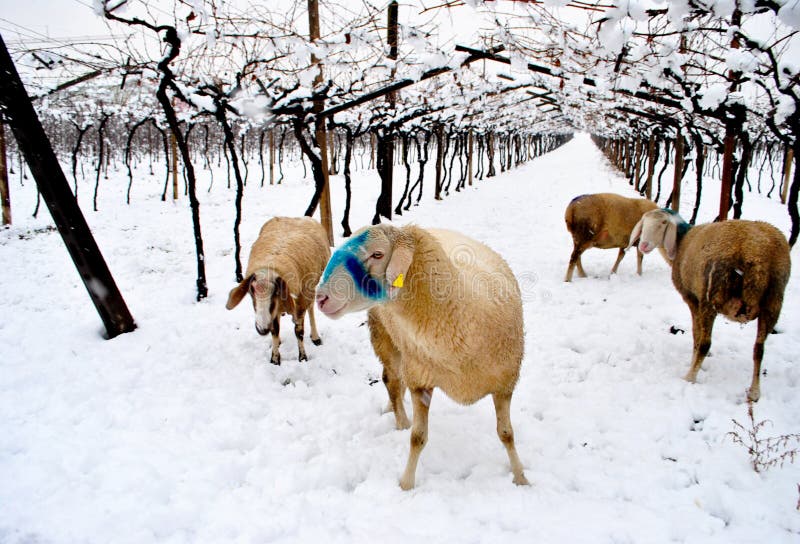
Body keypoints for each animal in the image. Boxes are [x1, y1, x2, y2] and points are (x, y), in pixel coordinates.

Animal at [226, 216, 331, 365]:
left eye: (275, 292)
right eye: (251, 292)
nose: (262, 329)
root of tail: (297, 217)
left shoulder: (300, 302)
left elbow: (299, 331)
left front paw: (303, 358)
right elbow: (275, 330)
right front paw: (275, 359)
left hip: (309, 288)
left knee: (311, 308)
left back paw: (315, 337)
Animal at [315, 224, 529, 490]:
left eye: (377, 254)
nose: (320, 298)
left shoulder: (505, 384)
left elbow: (507, 434)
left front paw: (521, 477)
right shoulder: (421, 382)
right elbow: (417, 438)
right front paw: (406, 483)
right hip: (385, 337)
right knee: (392, 381)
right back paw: (400, 420)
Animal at [629, 208, 791, 401]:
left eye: (663, 224)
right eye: (644, 222)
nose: (644, 245)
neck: (681, 241)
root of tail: (755, 253)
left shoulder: (693, 298)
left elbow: (696, 335)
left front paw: (693, 362)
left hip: (711, 295)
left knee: (707, 343)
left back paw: (689, 377)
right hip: (774, 301)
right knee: (759, 349)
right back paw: (754, 392)